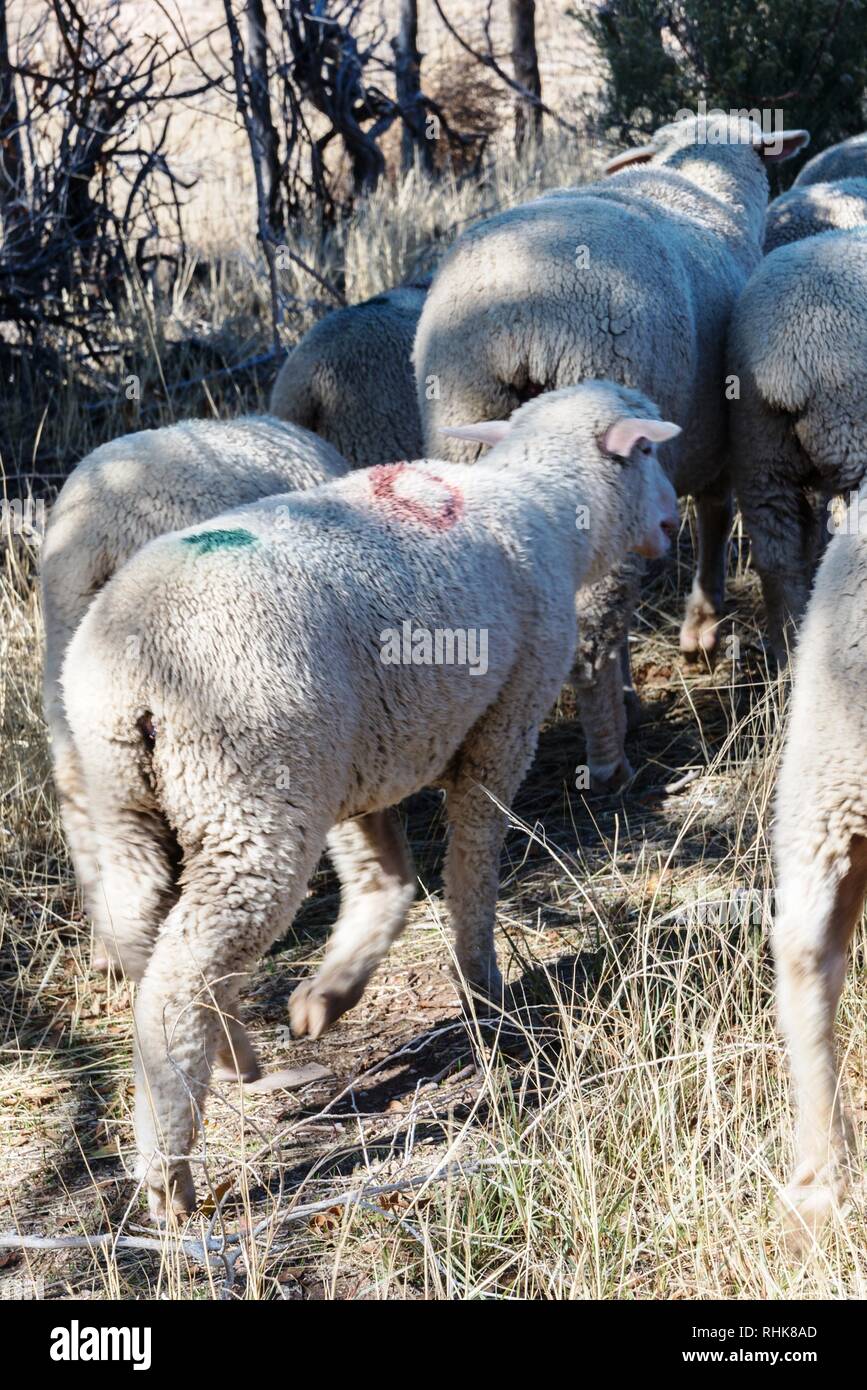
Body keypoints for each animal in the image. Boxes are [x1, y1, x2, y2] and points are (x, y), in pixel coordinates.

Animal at [413, 113, 809, 787]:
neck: (704, 184)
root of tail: (514, 310)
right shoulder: (715, 431)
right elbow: (713, 515)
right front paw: (701, 627)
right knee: (597, 617)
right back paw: (608, 758)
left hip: (462, 420)